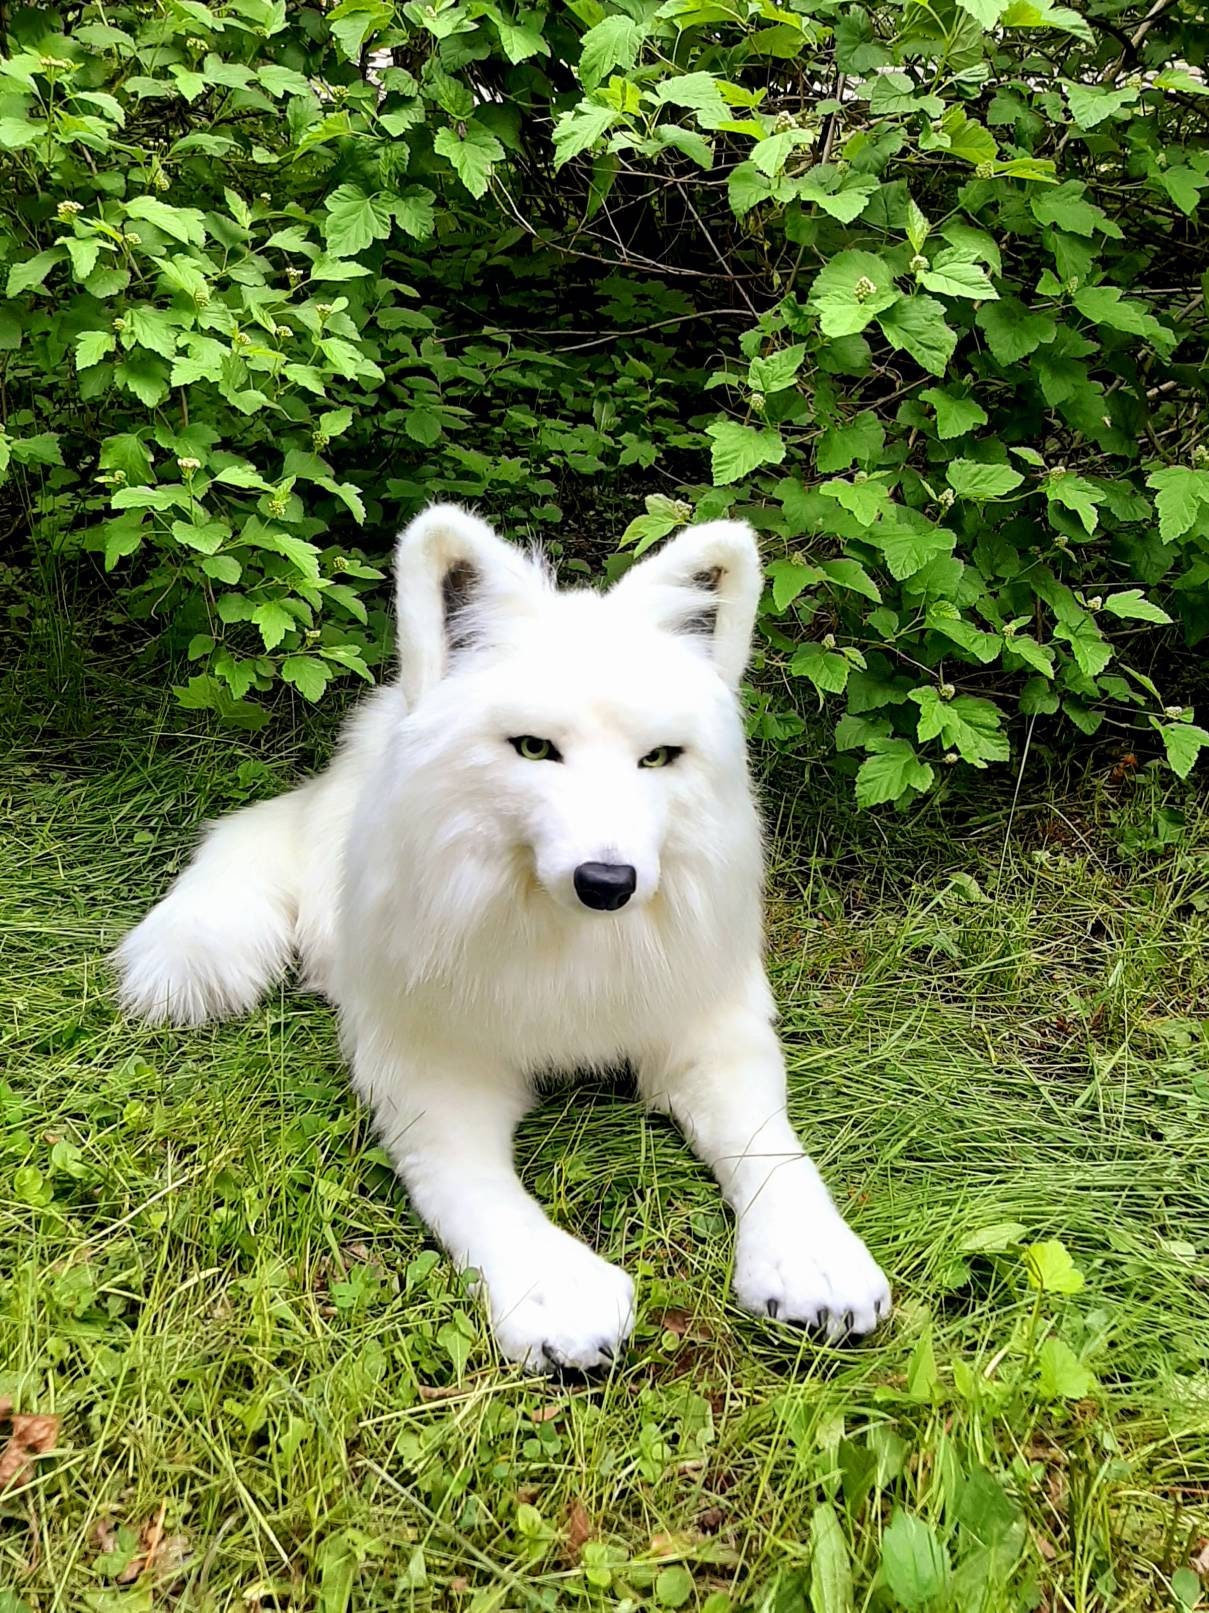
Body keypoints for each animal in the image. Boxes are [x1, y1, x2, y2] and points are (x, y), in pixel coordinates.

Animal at [115, 505, 891, 1369]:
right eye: (532, 748)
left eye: (658, 757)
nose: (607, 882)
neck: (565, 943)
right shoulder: (433, 1074)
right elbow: (480, 1195)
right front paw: (553, 1288)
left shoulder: (711, 1033)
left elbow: (767, 1145)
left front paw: (808, 1256)